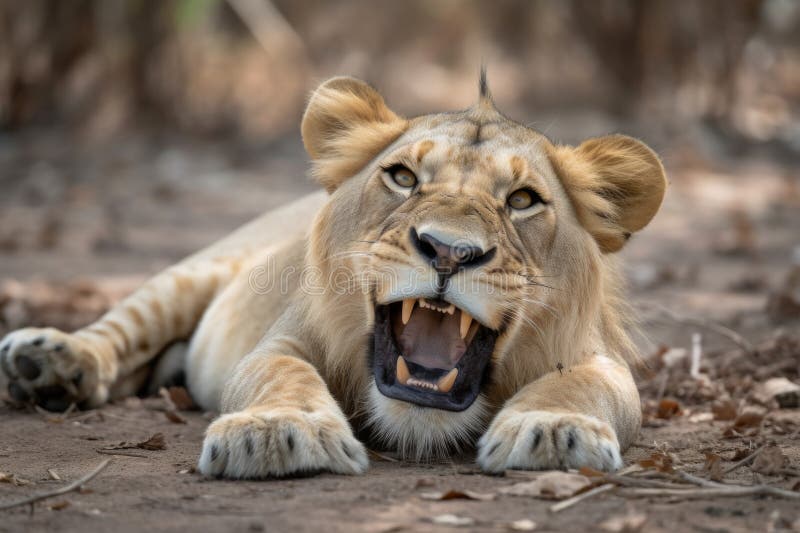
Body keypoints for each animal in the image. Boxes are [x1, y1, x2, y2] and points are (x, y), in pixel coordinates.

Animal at [0, 72, 666, 478]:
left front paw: (552, 428)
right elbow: (281, 376)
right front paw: (278, 432)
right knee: (120, 330)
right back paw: (47, 361)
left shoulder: (602, 359)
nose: (449, 250)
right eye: (403, 177)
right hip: (192, 271)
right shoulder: (281, 340)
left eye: (524, 200)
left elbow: (582, 387)